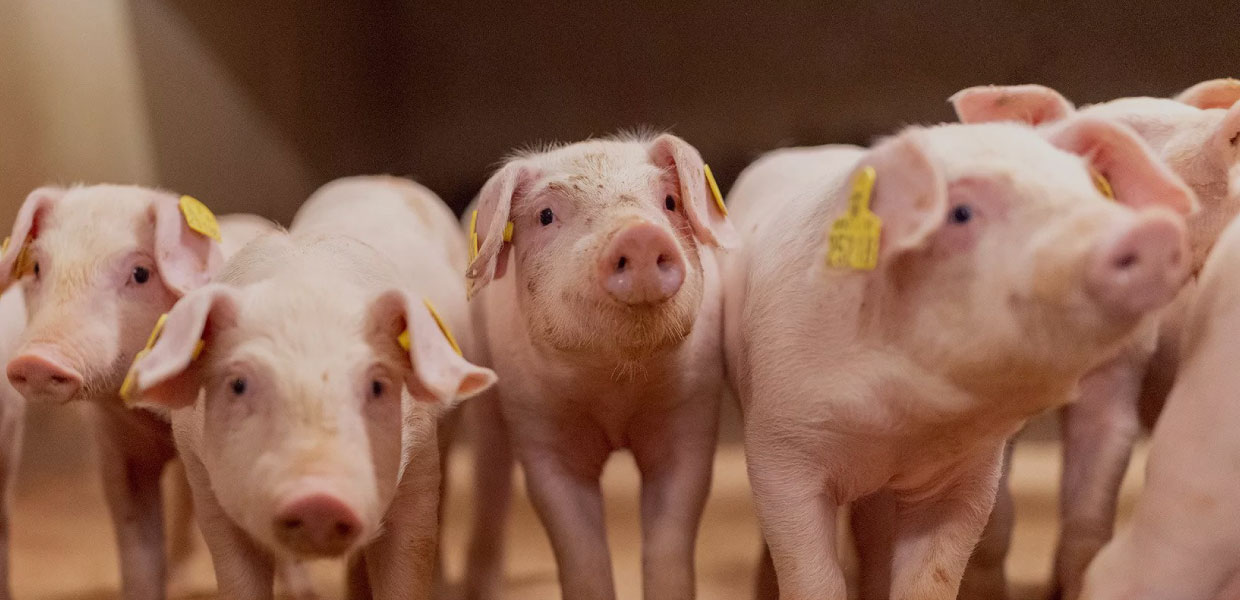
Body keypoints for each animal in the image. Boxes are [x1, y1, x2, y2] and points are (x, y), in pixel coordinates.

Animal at [0, 185, 279, 599]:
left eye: (141, 273)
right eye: (35, 268)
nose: (37, 360)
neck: (157, 417)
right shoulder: (117, 446)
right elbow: (138, 551)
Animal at [122, 175, 496, 599]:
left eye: (378, 385)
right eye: (238, 384)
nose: (319, 500)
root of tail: (381, 177)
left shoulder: (420, 462)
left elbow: (409, 565)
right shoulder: (203, 479)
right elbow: (237, 578)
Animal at [459, 133, 734, 600]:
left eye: (669, 201)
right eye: (545, 215)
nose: (639, 236)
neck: (615, 387)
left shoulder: (692, 414)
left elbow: (670, 543)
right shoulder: (540, 433)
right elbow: (580, 553)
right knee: (490, 479)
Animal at [723, 116, 1196, 600]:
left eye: (1091, 189)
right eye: (961, 213)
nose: (1152, 231)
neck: (901, 426)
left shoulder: (967, 479)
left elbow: (931, 579)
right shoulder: (779, 451)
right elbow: (812, 577)